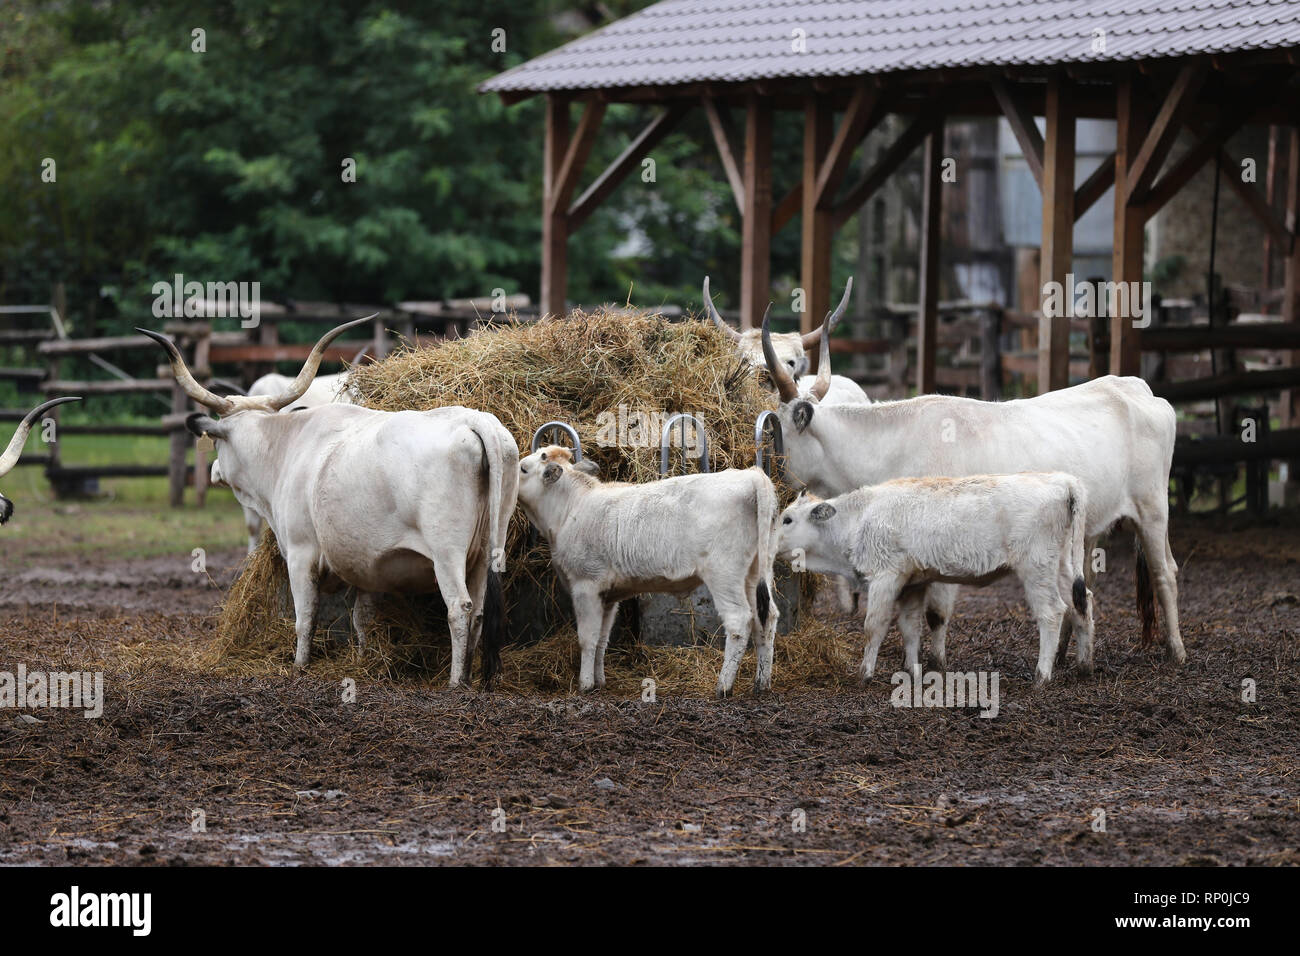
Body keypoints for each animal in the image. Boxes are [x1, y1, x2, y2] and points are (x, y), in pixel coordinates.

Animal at [137, 318, 518, 686]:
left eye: (216, 442)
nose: (215, 471)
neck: (286, 448)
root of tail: (474, 420)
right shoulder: (366, 566)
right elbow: (362, 619)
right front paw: (363, 660)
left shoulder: (301, 554)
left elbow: (305, 617)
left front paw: (299, 665)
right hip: (486, 551)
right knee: (479, 610)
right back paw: (469, 674)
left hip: (447, 553)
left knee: (460, 608)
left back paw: (455, 682)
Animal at [517, 445, 778, 698]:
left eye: (523, 469)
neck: (570, 509)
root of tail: (751, 475)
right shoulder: (608, 595)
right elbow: (602, 638)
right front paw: (600, 681)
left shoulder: (585, 585)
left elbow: (587, 639)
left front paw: (586, 684)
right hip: (756, 571)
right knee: (766, 618)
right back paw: (761, 684)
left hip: (724, 573)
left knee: (739, 620)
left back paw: (724, 687)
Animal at [778, 474, 1094, 686]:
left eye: (787, 519)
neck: (860, 517)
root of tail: (1062, 480)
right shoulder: (913, 584)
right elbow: (910, 627)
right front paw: (913, 671)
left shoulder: (885, 578)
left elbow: (874, 626)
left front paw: (865, 673)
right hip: (1063, 566)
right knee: (1082, 604)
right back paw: (1084, 666)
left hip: (1036, 569)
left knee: (1052, 612)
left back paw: (1042, 675)